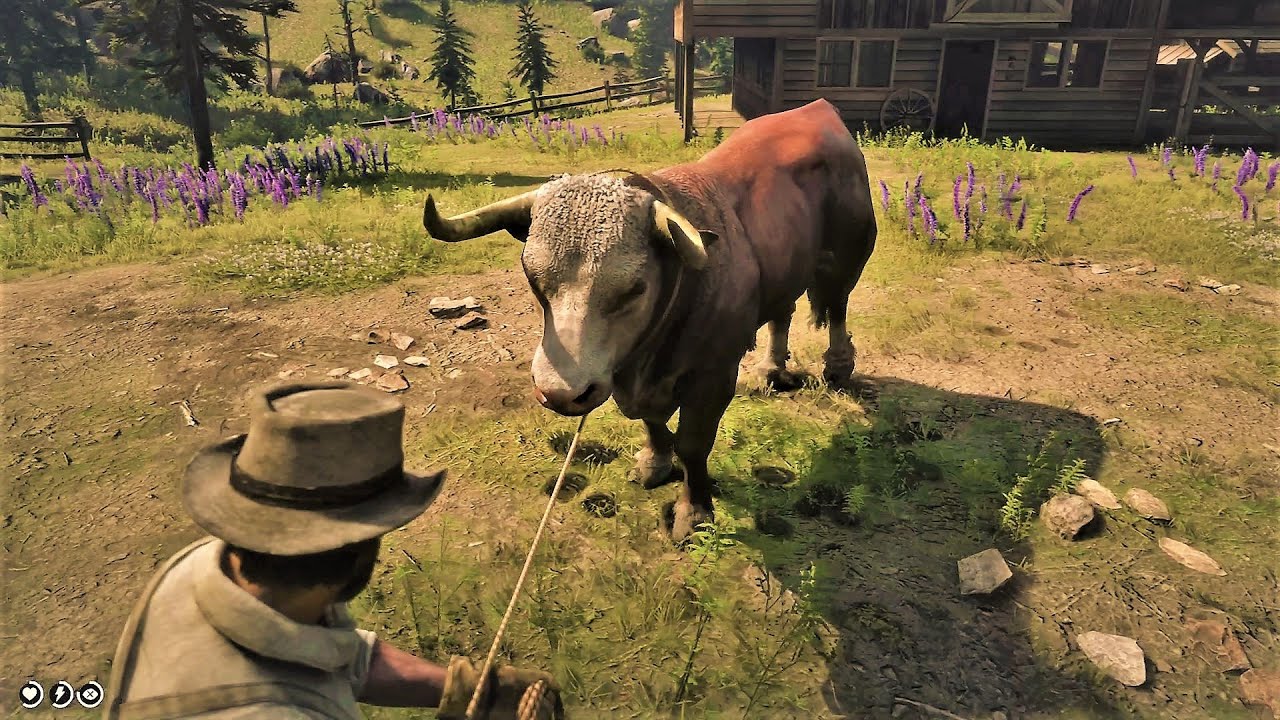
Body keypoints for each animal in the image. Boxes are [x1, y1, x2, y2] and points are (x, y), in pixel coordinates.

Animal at [421, 99, 877, 542]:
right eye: (533, 278)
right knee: (783, 312)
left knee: (837, 308)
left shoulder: (713, 376)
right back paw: (770, 367)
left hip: (845, 260)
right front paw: (654, 464)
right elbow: (654, 423)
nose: (560, 393)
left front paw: (694, 512)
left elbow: (693, 444)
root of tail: (820, 110)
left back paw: (837, 368)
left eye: (634, 288)